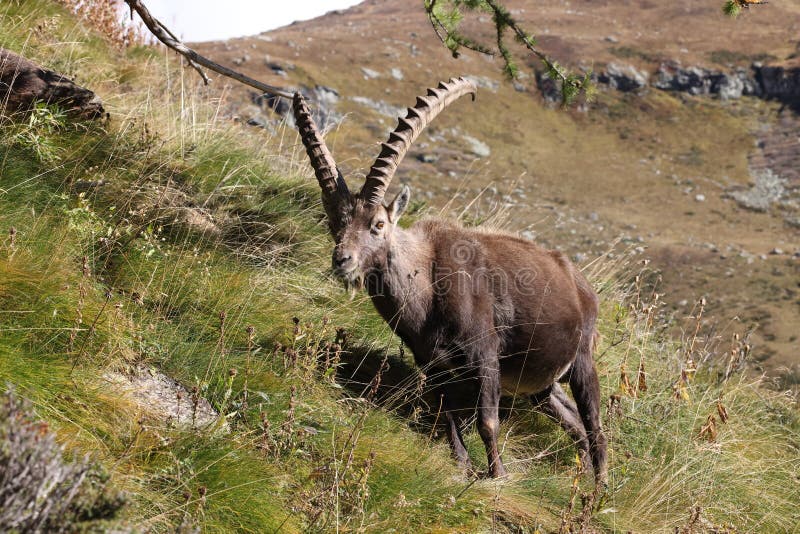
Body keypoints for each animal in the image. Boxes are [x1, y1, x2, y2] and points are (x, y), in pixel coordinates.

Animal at [293, 78, 607, 483]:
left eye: (378, 225)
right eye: (335, 224)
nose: (342, 260)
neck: (424, 283)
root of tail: (582, 285)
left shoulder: (485, 355)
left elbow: (487, 422)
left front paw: (497, 477)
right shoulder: (433, 364)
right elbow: (447, 417)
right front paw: (461, 467)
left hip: (582, 360)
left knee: (595, 426)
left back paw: (601, 488)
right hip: (542, 383)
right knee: (573, 423)